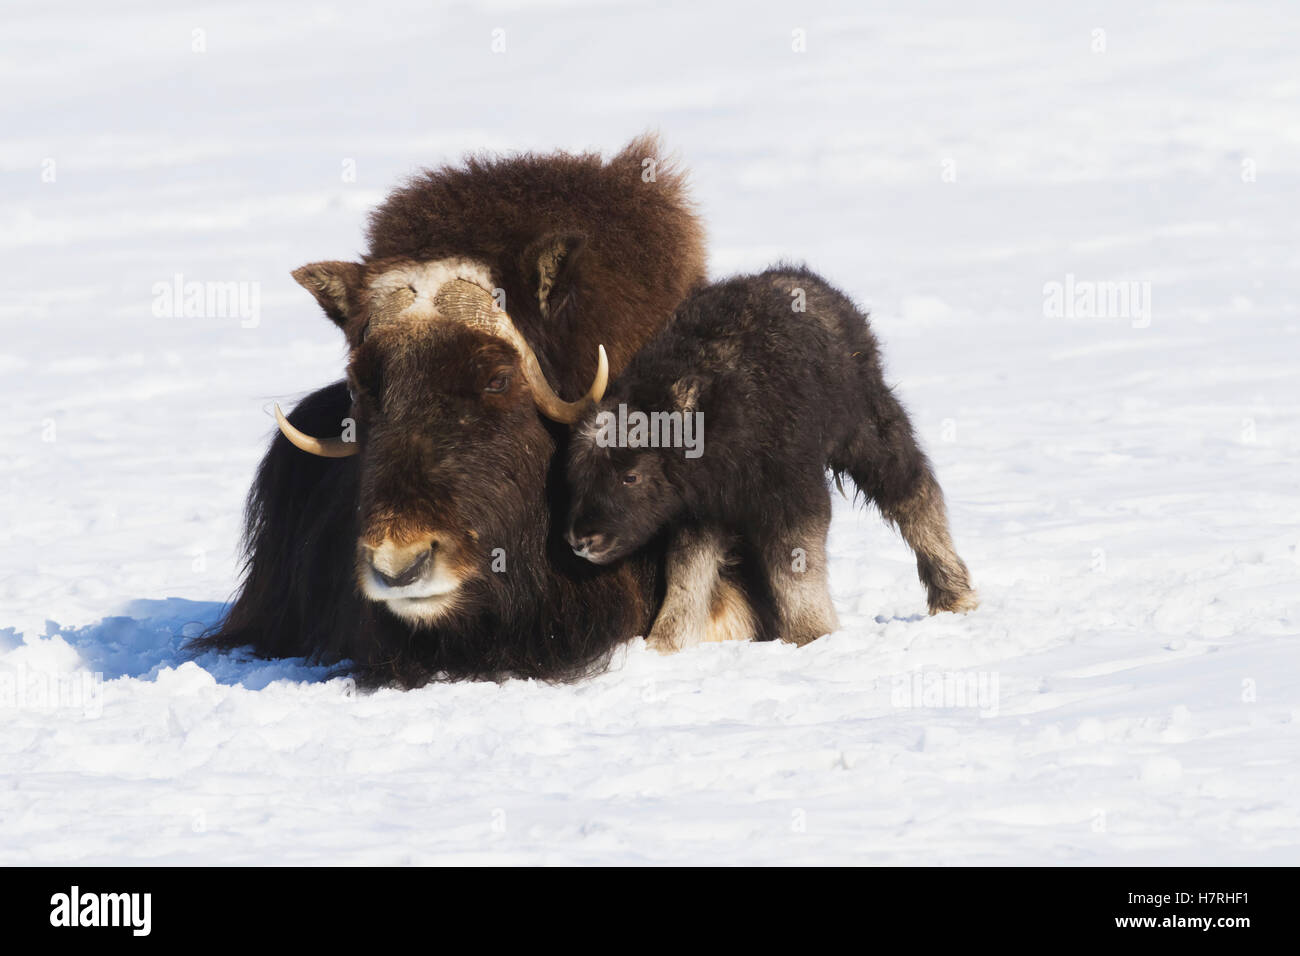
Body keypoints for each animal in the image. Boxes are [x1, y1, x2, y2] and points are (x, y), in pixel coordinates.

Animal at [563, 265, 978, 653]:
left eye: (631, 475)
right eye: (579, 472)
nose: (581, 541)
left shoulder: (790, 492)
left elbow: (793, 563)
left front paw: (813, 635)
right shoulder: (701, 510)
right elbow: (686, 571)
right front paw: (664, 644)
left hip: (867, 430)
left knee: (911, 490)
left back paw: (955, 596)